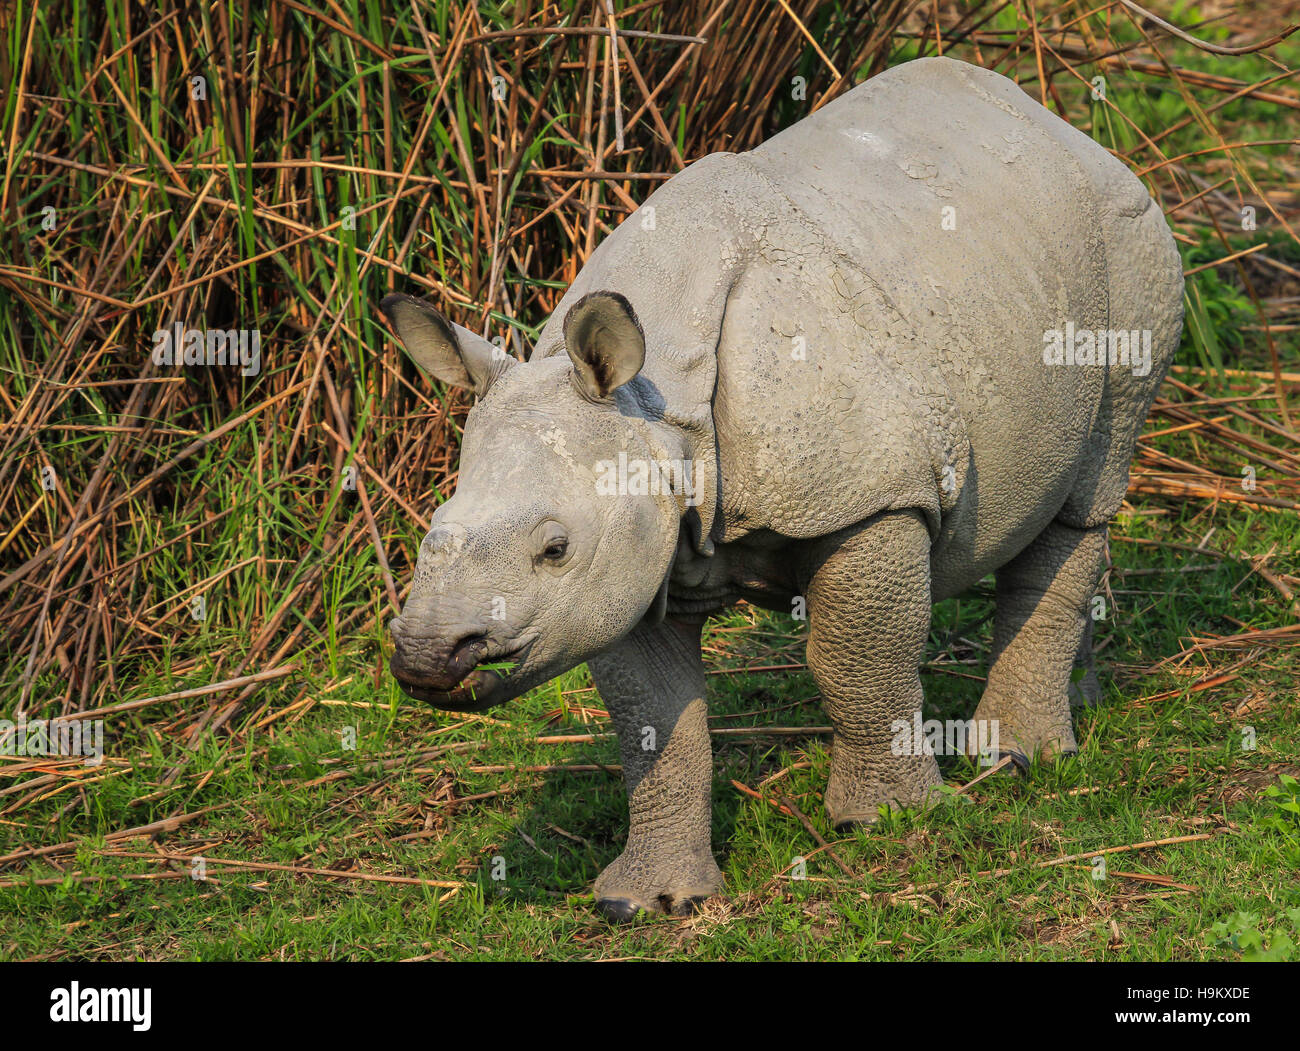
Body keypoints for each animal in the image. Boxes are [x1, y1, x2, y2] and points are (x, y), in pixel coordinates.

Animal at [381, 56, 1184, 921]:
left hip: (1132, 245)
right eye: (430, 531)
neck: (657, 412)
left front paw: (888, 818)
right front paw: (648, 901)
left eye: (554, 549)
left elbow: (855, 657)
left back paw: (1021, 759)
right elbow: (652, 719)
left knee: (1091, 483)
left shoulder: (871, 492)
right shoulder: (629, 552)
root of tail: (1058, 125)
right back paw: (1080, 708)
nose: (427, 657)